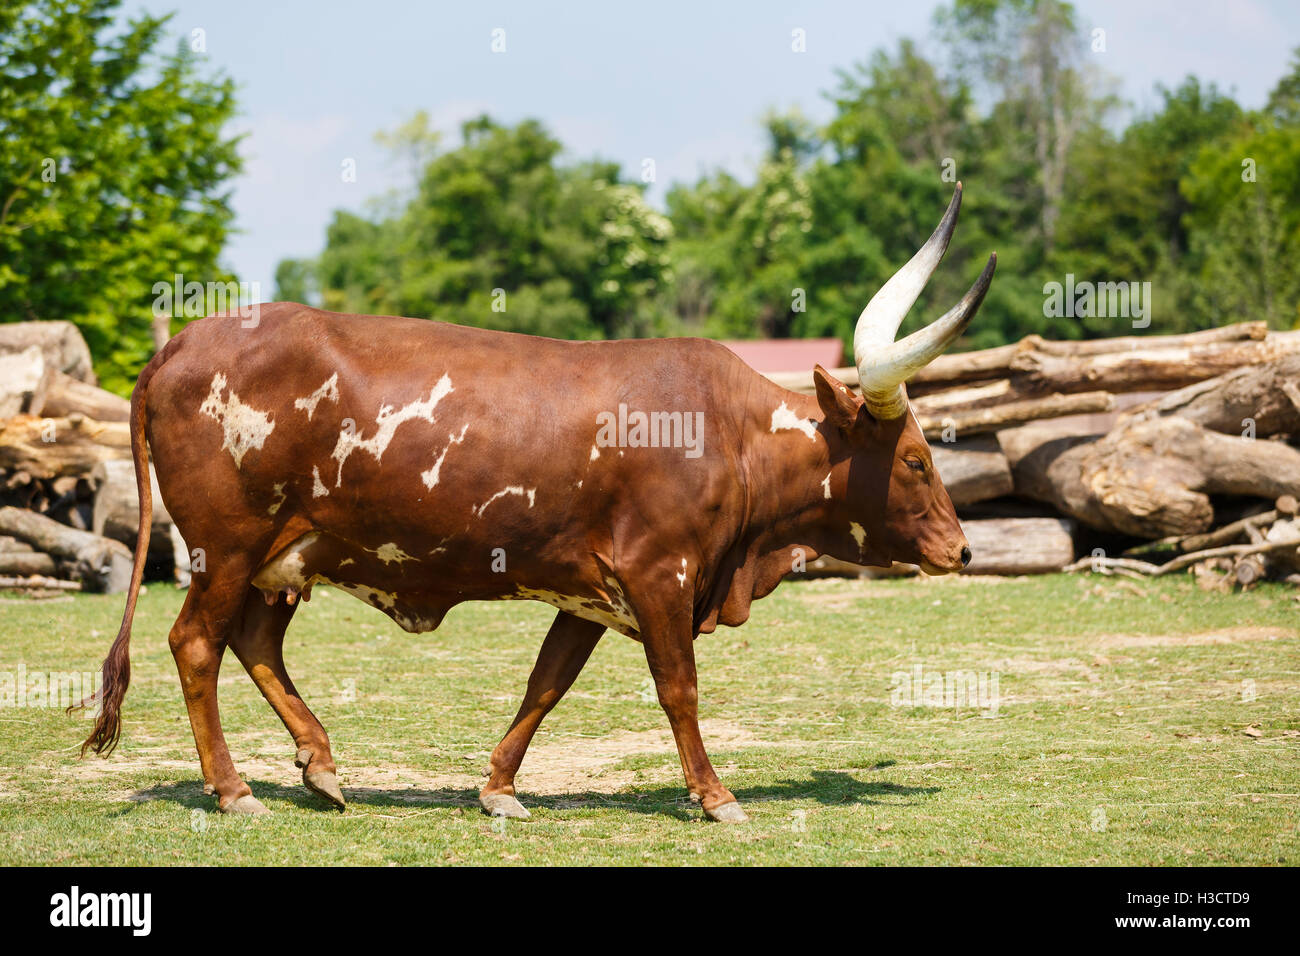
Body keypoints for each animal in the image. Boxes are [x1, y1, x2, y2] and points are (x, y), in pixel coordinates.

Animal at [80, 185, 994, 823]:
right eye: (916, 459)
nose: (962, 550)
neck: (731, 433)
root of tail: (183, 343)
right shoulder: (660, 575)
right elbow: (679, 689)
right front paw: (715, 796)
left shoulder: (587, 590)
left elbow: (547, 682)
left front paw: (498, 787)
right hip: (226, 547)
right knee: (197, 645)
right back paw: (235, 789)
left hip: (287, 556)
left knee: (255, 643)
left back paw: (322, 767)